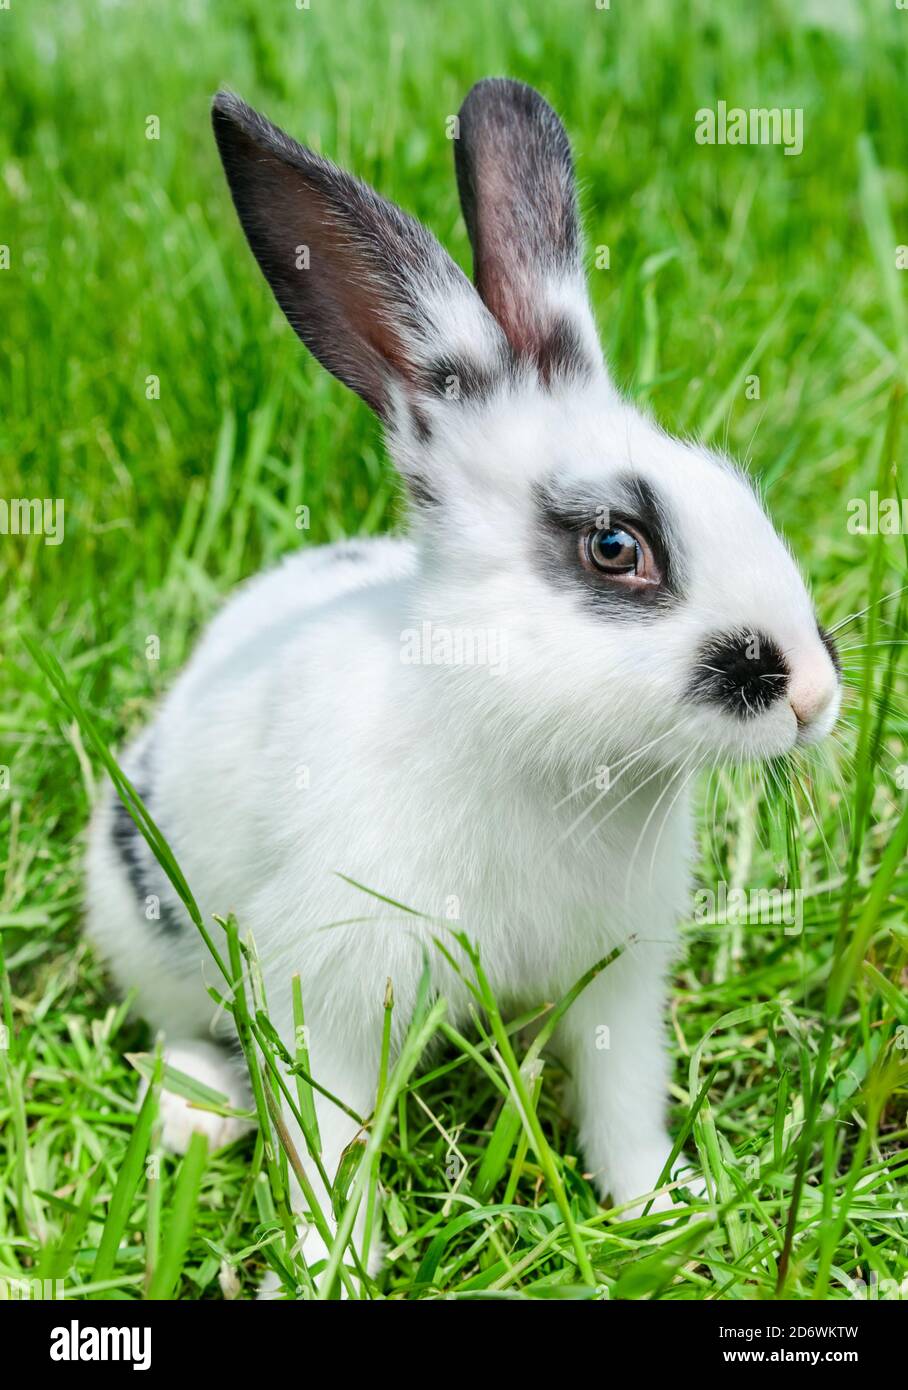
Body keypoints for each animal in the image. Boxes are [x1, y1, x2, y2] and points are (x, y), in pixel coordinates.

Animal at [85, 78, 841, 1293]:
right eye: (616, 546)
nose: (813, 696)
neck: (522, 748)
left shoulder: (618, 982)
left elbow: (621, 1104)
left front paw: (661, 1209)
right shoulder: (331, 991)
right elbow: (331, 1144)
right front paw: (335, 1270)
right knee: (185, 1026)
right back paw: (198, 1114)